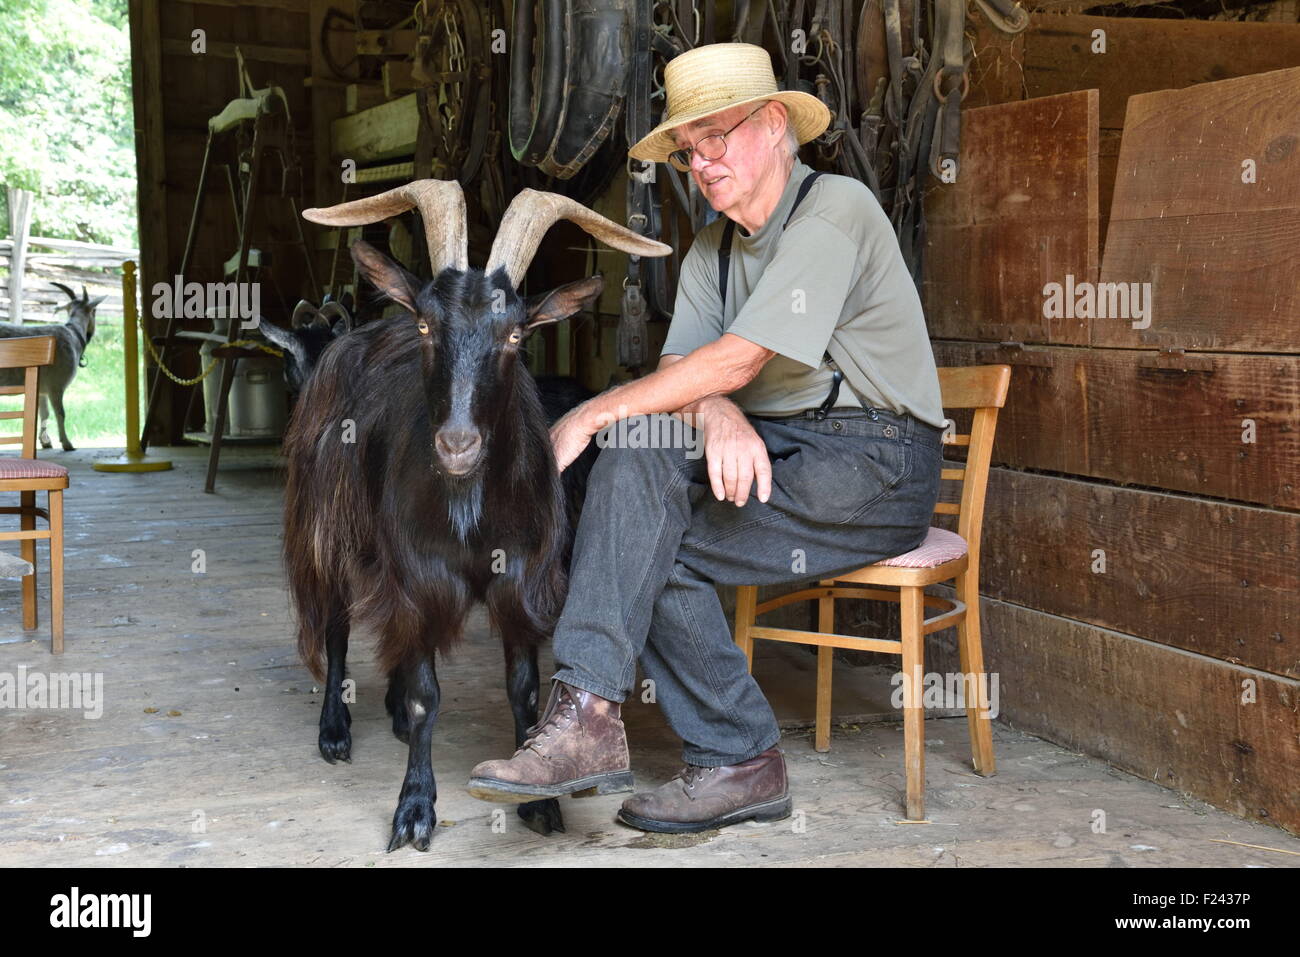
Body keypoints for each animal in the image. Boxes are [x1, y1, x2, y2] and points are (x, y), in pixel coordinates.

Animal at [0, 283, 103, 450]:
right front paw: (67, 443)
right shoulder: (57, 384)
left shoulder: (42, 388)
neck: (74, 334)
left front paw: (46, 442)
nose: (93, 332)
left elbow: (43, 413)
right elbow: (60, 413)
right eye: (94, 311)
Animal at [282, 179, 668, 851]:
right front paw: (414, 808)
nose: (457, 444)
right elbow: (426, 696)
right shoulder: (419, 575)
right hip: (328, 524)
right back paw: (335, 729)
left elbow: (523, 689)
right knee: (334, 622)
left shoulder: (523, 580)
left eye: (515, 335)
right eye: (425, 323)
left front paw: (540, 802)